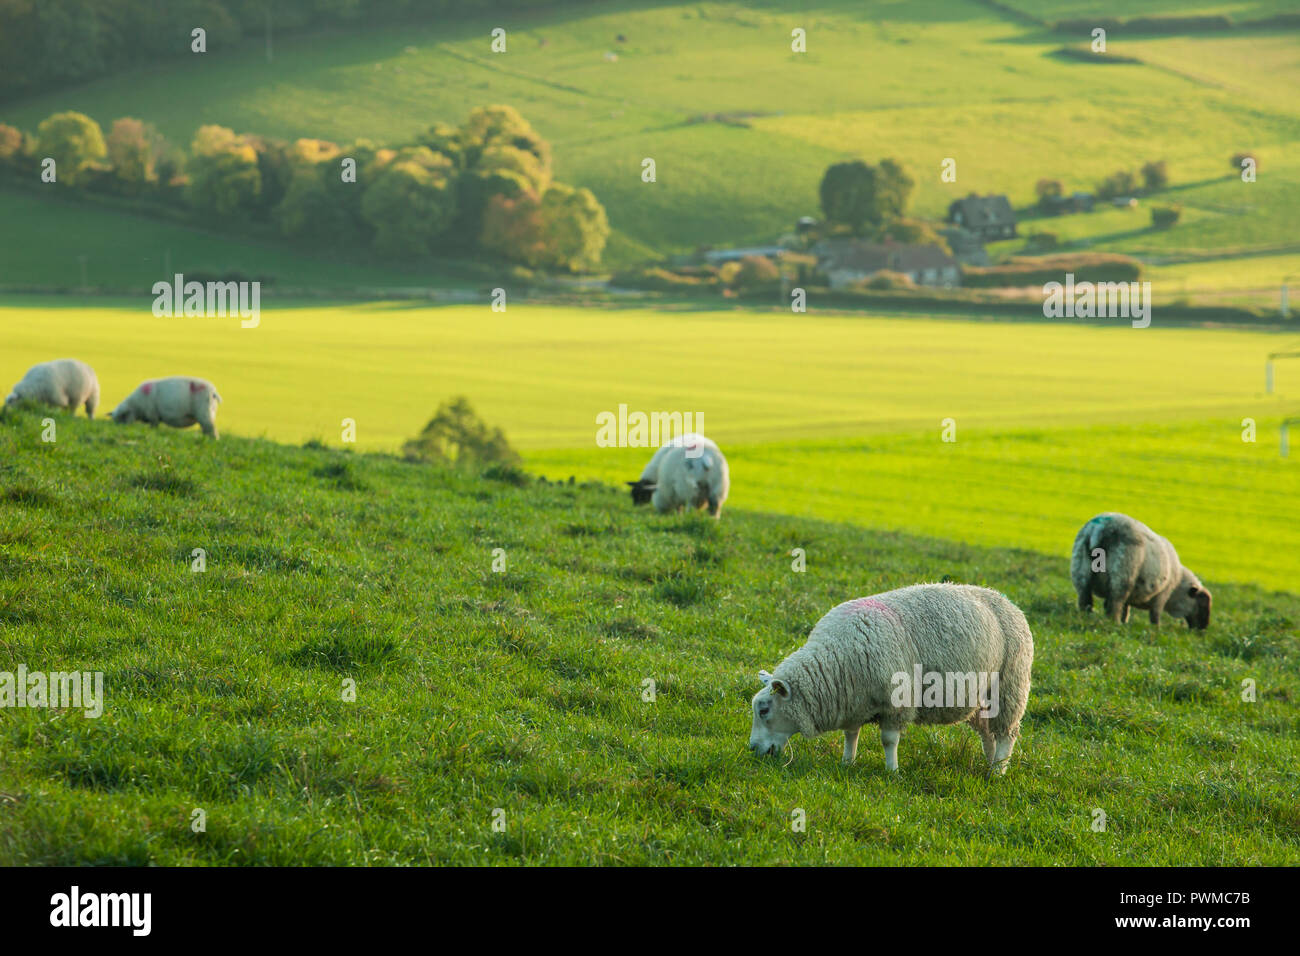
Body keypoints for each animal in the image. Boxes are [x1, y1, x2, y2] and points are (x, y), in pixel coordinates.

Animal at [748, 583, 1034, 774]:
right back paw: (991, 763)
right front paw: (847, 762)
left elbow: (888, 740)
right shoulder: (853, 700)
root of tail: (1009, 603)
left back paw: (997, 772)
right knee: (988, 733)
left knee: (1006, 734)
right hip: (982, 699)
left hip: (1010, 686)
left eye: (764, 710)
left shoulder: (897, 701)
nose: (751, 749)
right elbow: (851, 734)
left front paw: (891, 771)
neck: (835, 660)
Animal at [1071, 512, 1211, 629]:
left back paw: (1086, 616)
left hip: (1080, 566)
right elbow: (1154, 616)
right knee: (1115, 602)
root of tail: (1100, 528)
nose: (1202, 630)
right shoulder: (1161, 596)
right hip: (1123, 573)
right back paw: (1114, 623)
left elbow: (1125, 609)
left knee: (1085, 597)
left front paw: (1125, 622)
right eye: (1201, 605)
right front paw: (1156, 630)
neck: (1177, 588)